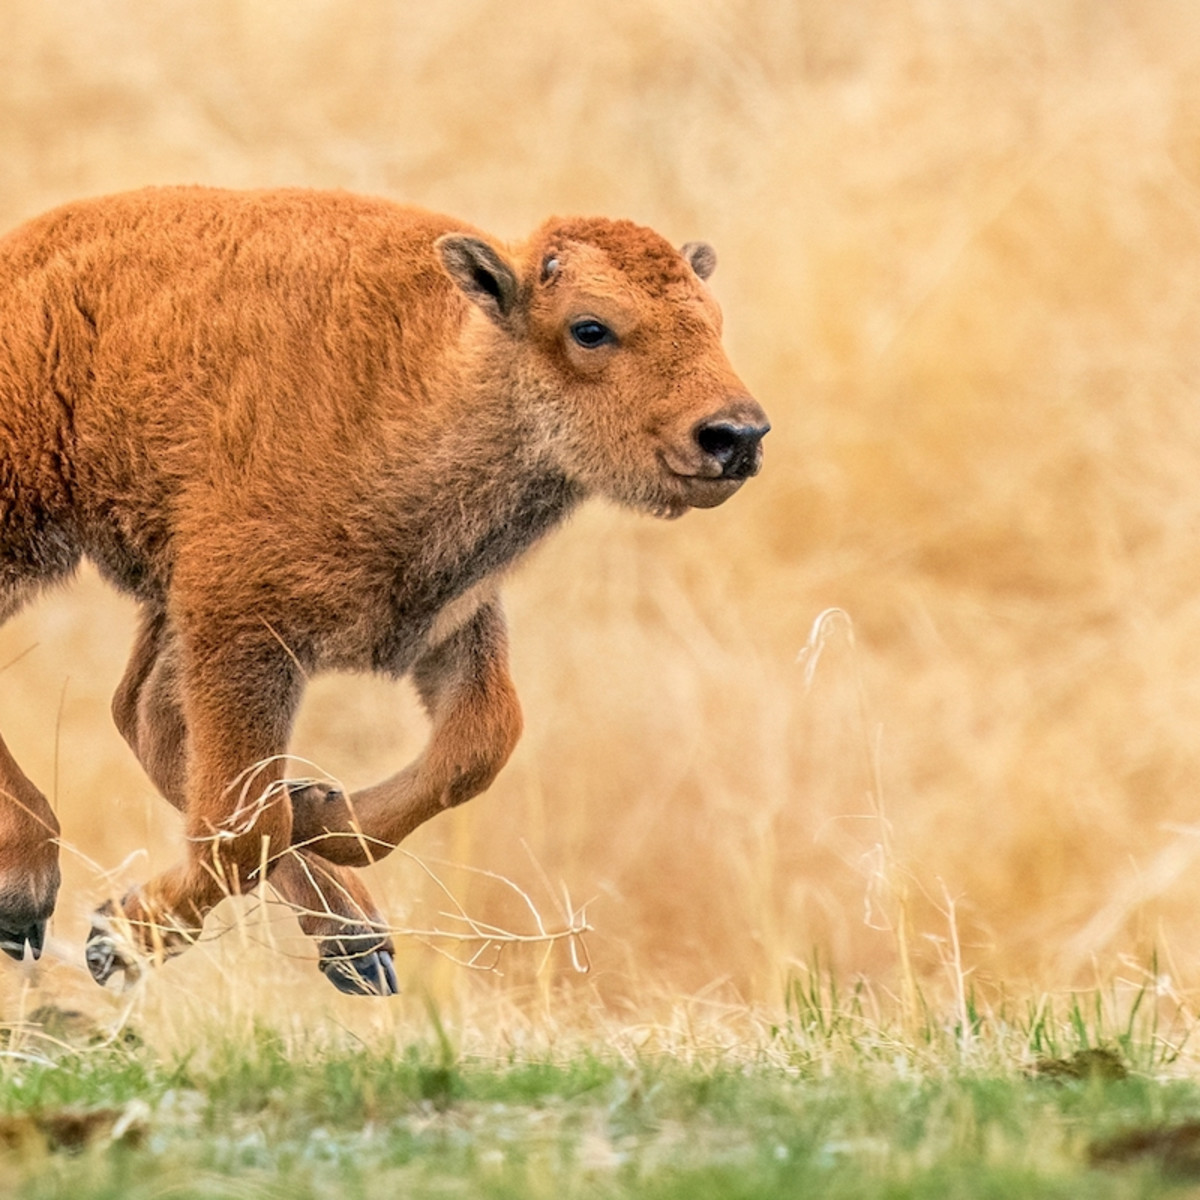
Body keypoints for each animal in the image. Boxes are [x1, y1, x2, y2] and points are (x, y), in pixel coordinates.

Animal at [0, 186, 768, 995]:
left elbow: (477, 746)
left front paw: (321, 815)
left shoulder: (448, 618)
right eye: (590, 328)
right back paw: (27, 894)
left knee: (141, 715)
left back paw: (355, 938)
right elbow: (243, 827)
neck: (440, 375)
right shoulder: (239, 630)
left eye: (713, 321)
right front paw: (113, 937)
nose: (735, 436)